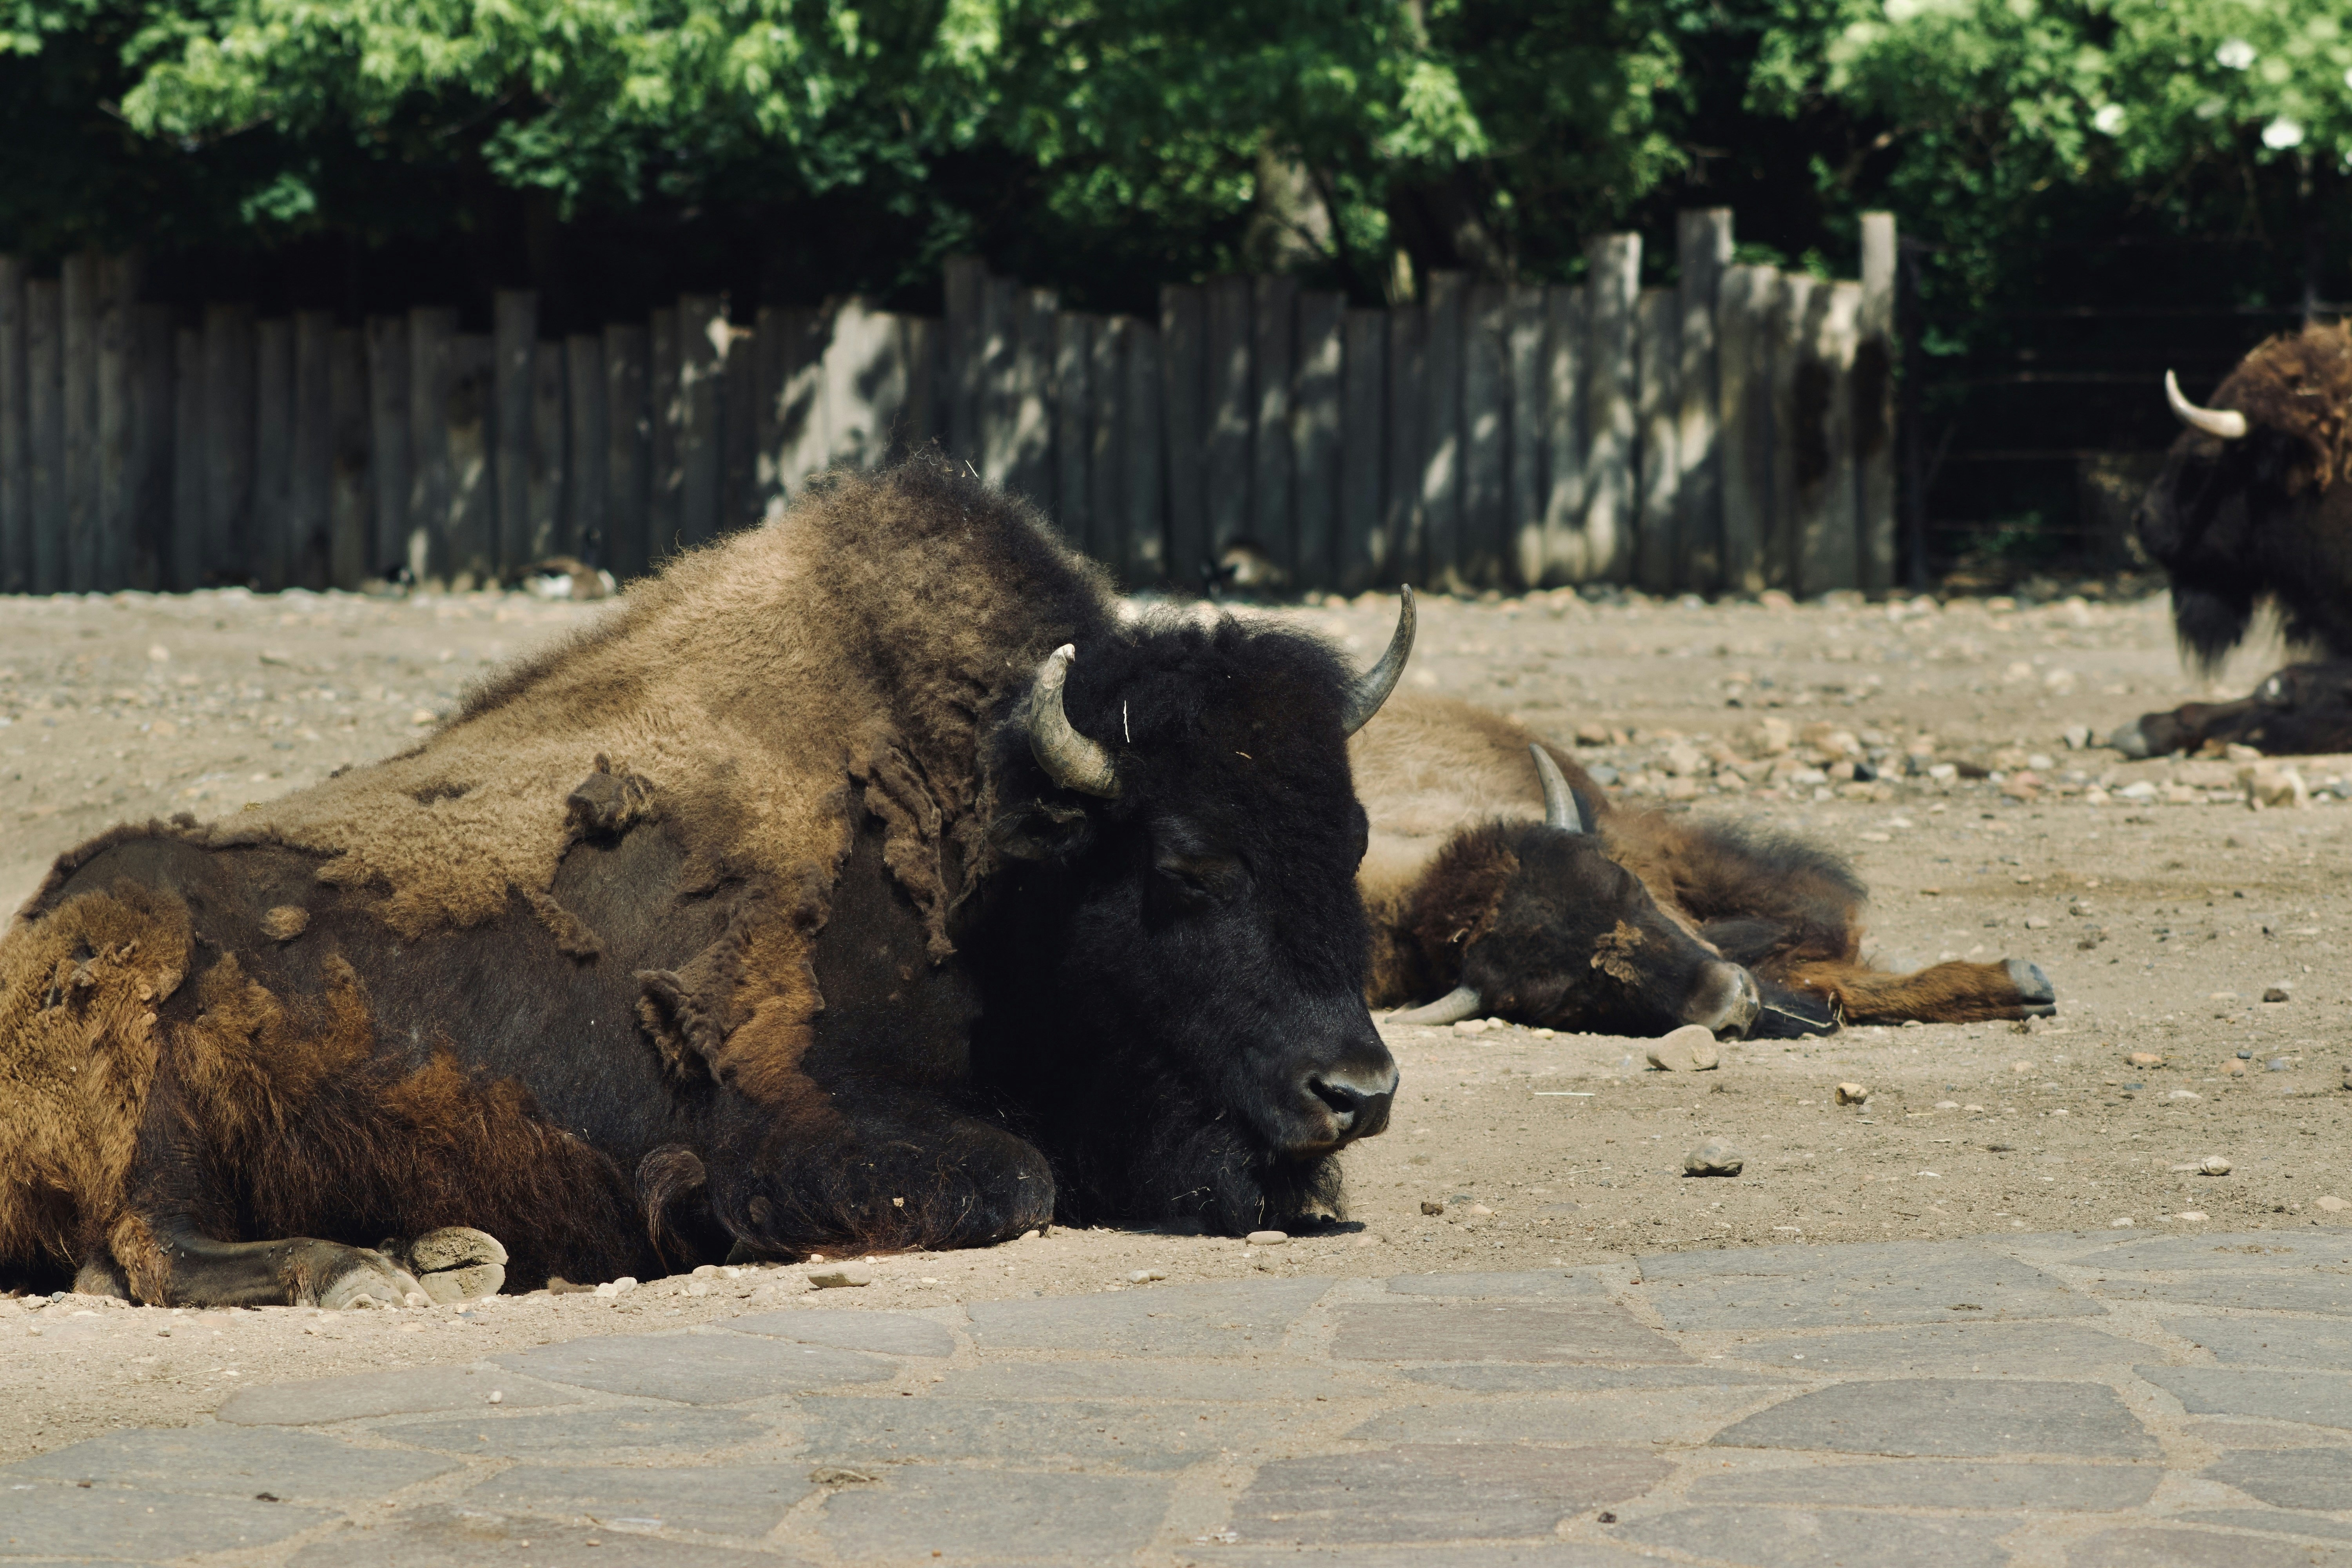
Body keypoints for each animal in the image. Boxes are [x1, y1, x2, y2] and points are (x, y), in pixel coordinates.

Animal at [0, 463, 1412, 1309]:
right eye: (1187, 866)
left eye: (1351, 840)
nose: (1357, 1091)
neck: (999, 849)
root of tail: (38, 934)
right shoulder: (789, 1109)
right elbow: (1015, 1181)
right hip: (150, 1063)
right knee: (147, 1242)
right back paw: (361, 1272)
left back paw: (443, 1251)